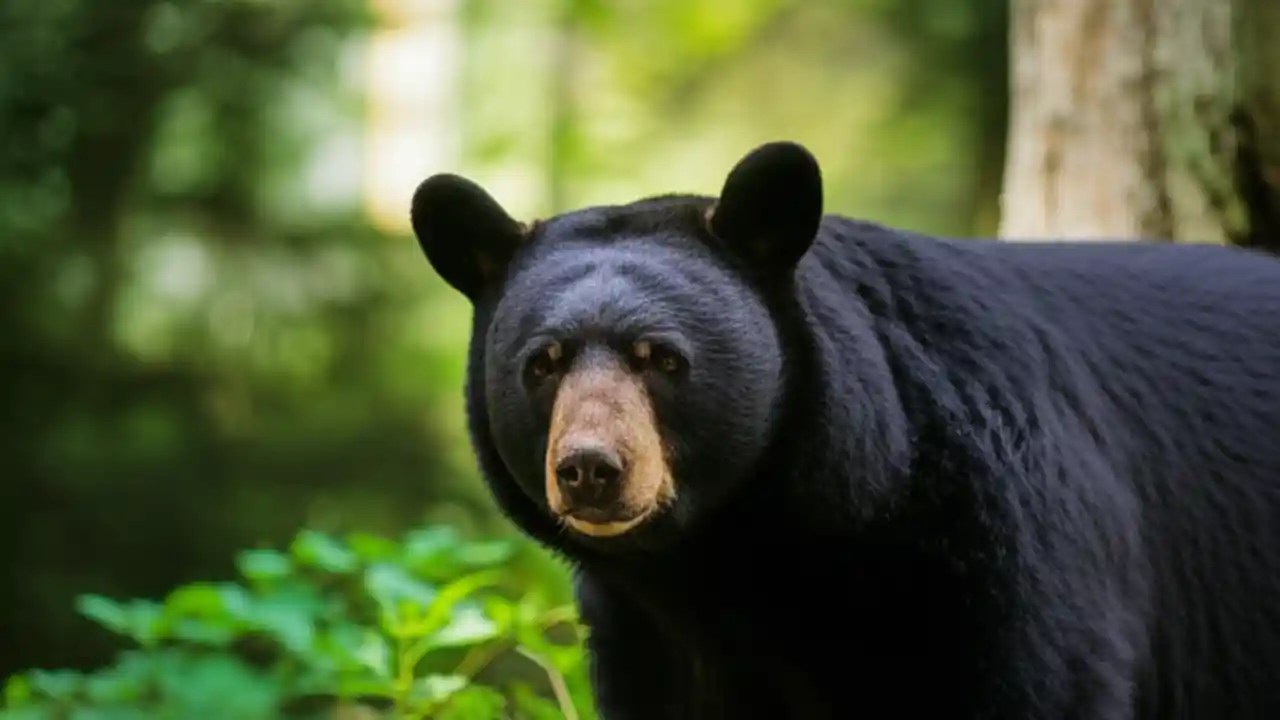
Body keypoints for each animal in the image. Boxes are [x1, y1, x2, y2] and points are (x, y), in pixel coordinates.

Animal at [409, 141, 1280, 719]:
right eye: (543, 362)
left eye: (661, 357)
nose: (591, 468)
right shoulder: (648, 637)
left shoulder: (1004, 545)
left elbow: (1049, 683)